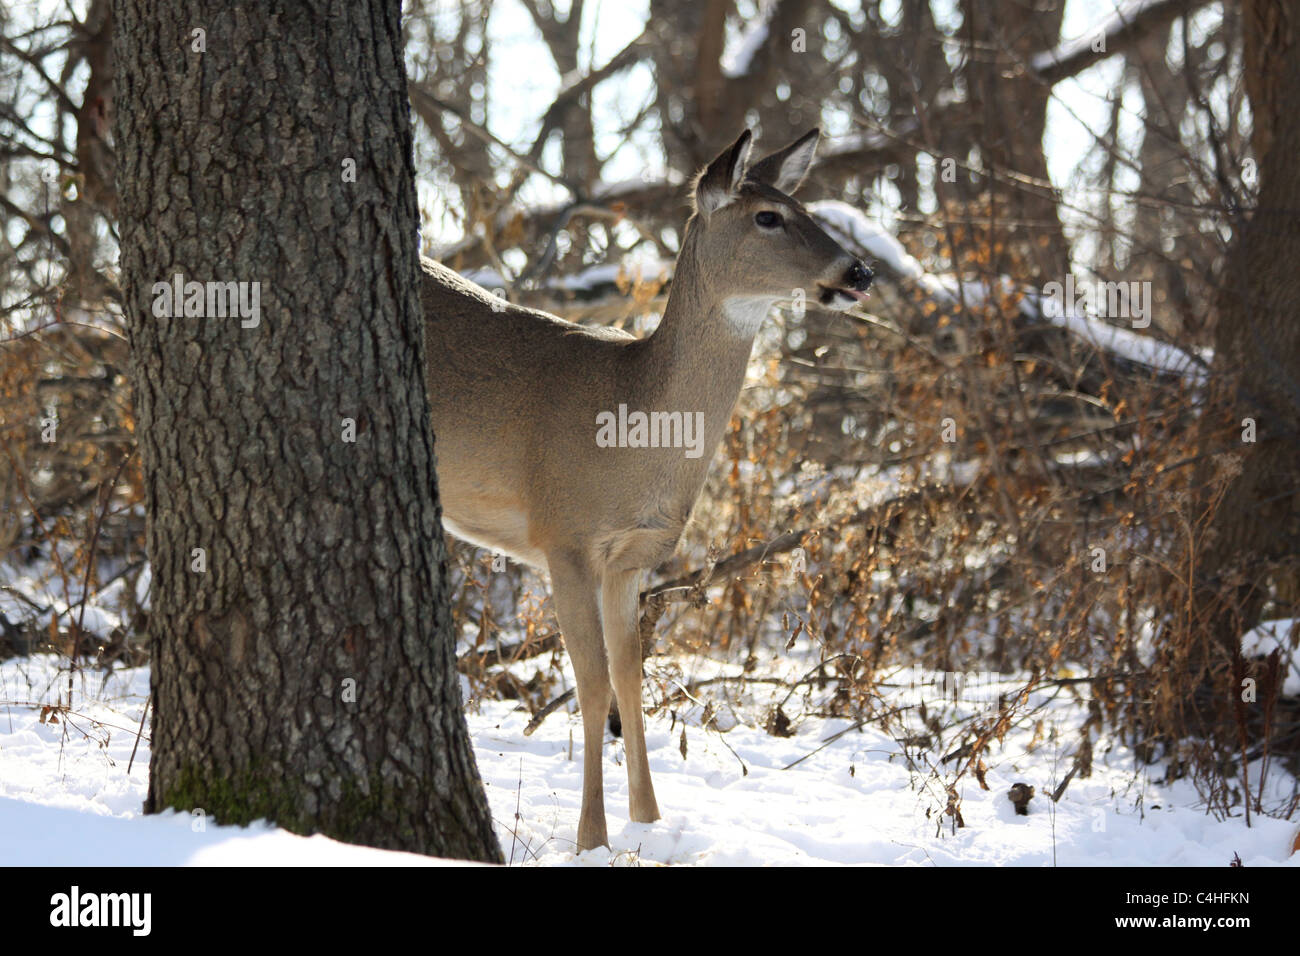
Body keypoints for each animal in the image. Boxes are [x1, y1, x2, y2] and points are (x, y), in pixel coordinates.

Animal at [420, 128, 873, 852]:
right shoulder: (565, 539)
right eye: (767, 216)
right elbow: (590, 681)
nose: (859, 271)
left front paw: (649, 822)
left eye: (804, 206)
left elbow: (630, 678)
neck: (633, 428)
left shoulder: (630, 557)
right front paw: (591, 838)